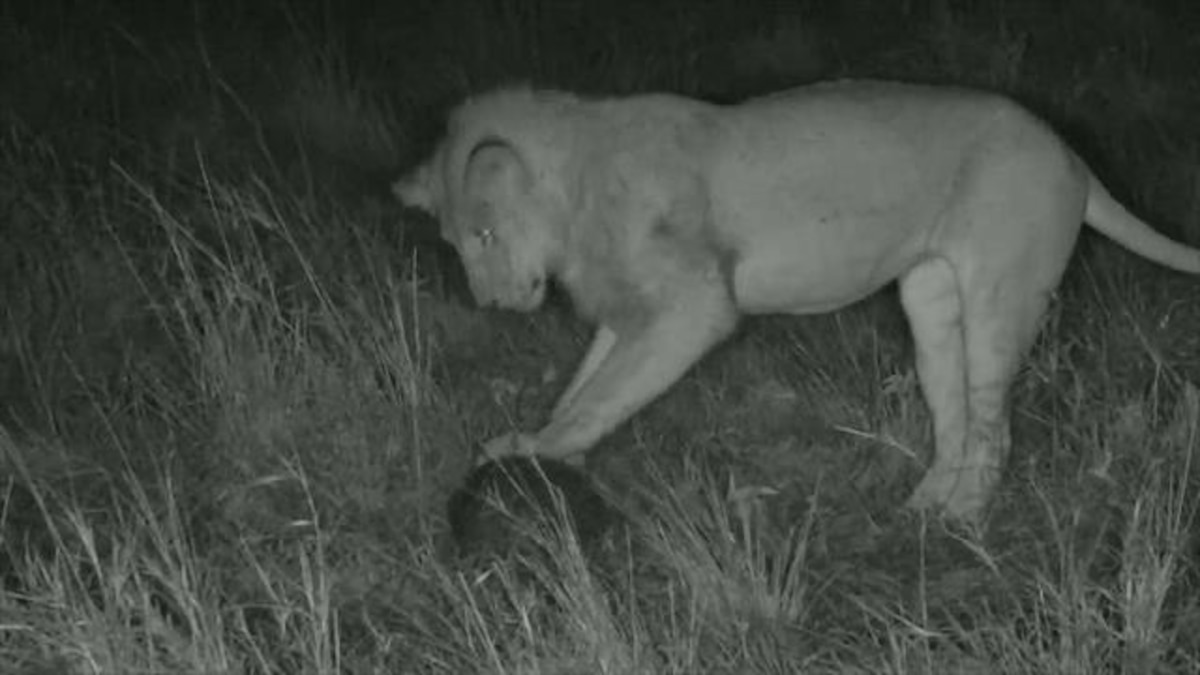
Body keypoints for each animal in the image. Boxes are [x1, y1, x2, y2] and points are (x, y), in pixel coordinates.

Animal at [394, 80, 1200, 519]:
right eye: (457, 241)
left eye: (486, 232)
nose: (490, 302)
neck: (579, 180)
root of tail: (1071, 152)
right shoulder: (628, 312)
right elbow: (585, 382)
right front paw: (532, 443)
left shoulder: (691, 306)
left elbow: (602, 396)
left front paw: (543, 449)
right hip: (932, 302)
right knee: (955, 417)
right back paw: (925, 508)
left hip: (1001, 295)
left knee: (993, 427)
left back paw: (965, 517)